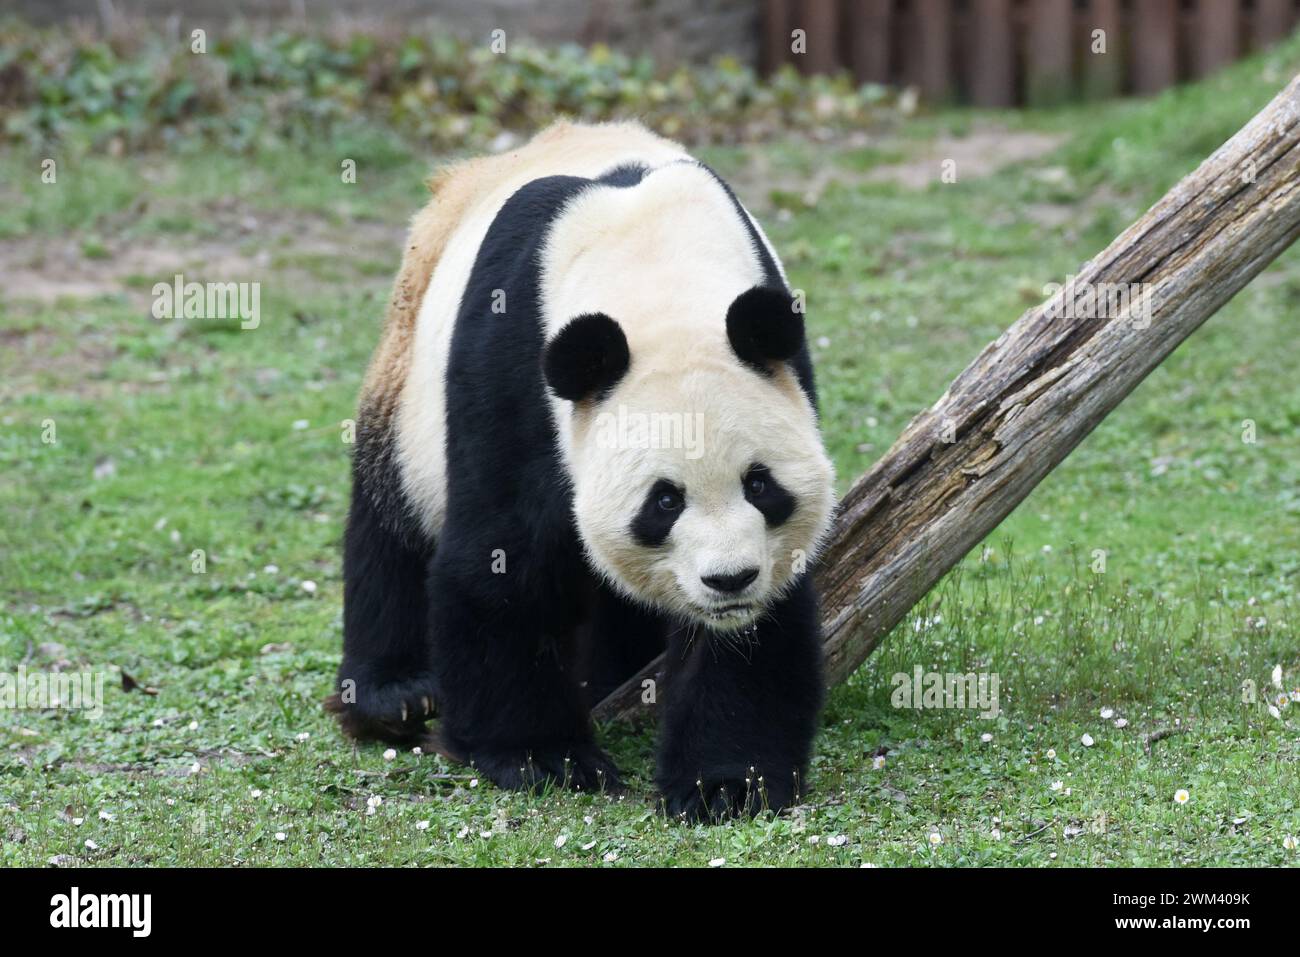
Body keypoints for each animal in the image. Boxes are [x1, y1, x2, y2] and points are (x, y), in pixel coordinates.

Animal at [328, 120, 836, 821]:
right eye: (664, 502)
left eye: (759, 485)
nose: (729, 580)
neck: (658, 281)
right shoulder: (513, 367)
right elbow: (502, 559)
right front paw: (541, 756)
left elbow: (765, 620)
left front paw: (726, 782)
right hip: (406, 374)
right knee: (389, 521)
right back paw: (395, 694)